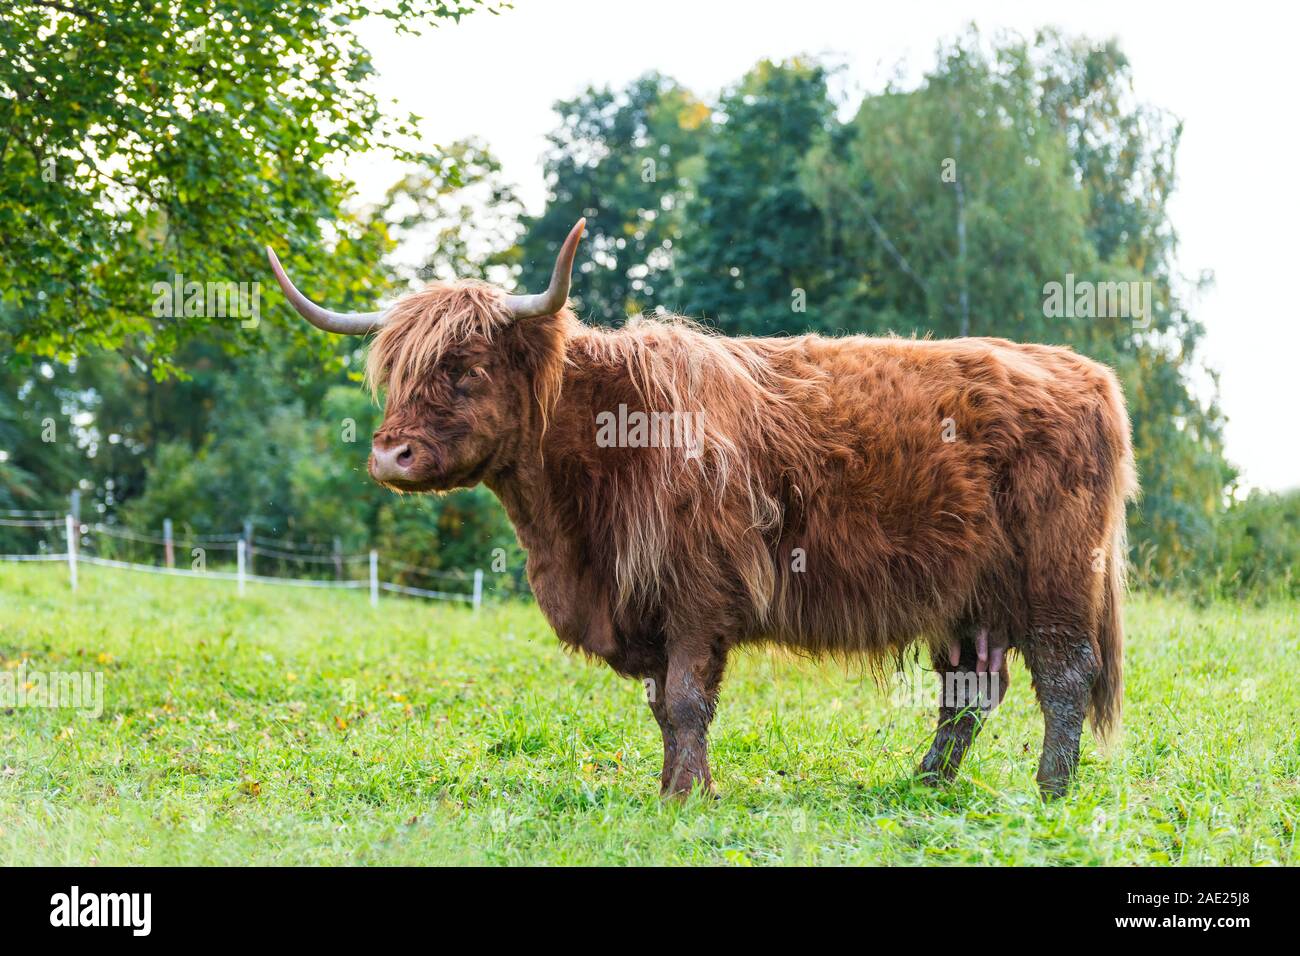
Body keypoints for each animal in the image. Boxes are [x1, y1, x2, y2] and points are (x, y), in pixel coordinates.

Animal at [267, 219, 1137, 799]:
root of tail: (1085, 372)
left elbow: (687, 700)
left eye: (466, 367)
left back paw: (1049, 791)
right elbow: (665, 709)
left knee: (1064, 675)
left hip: (1058, 575)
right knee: (969, 691)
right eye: (395, 374)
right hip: (967, 596)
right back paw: (923, 784)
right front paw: (680, 788)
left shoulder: (698, 590)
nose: (389, 455)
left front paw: (684, 798)